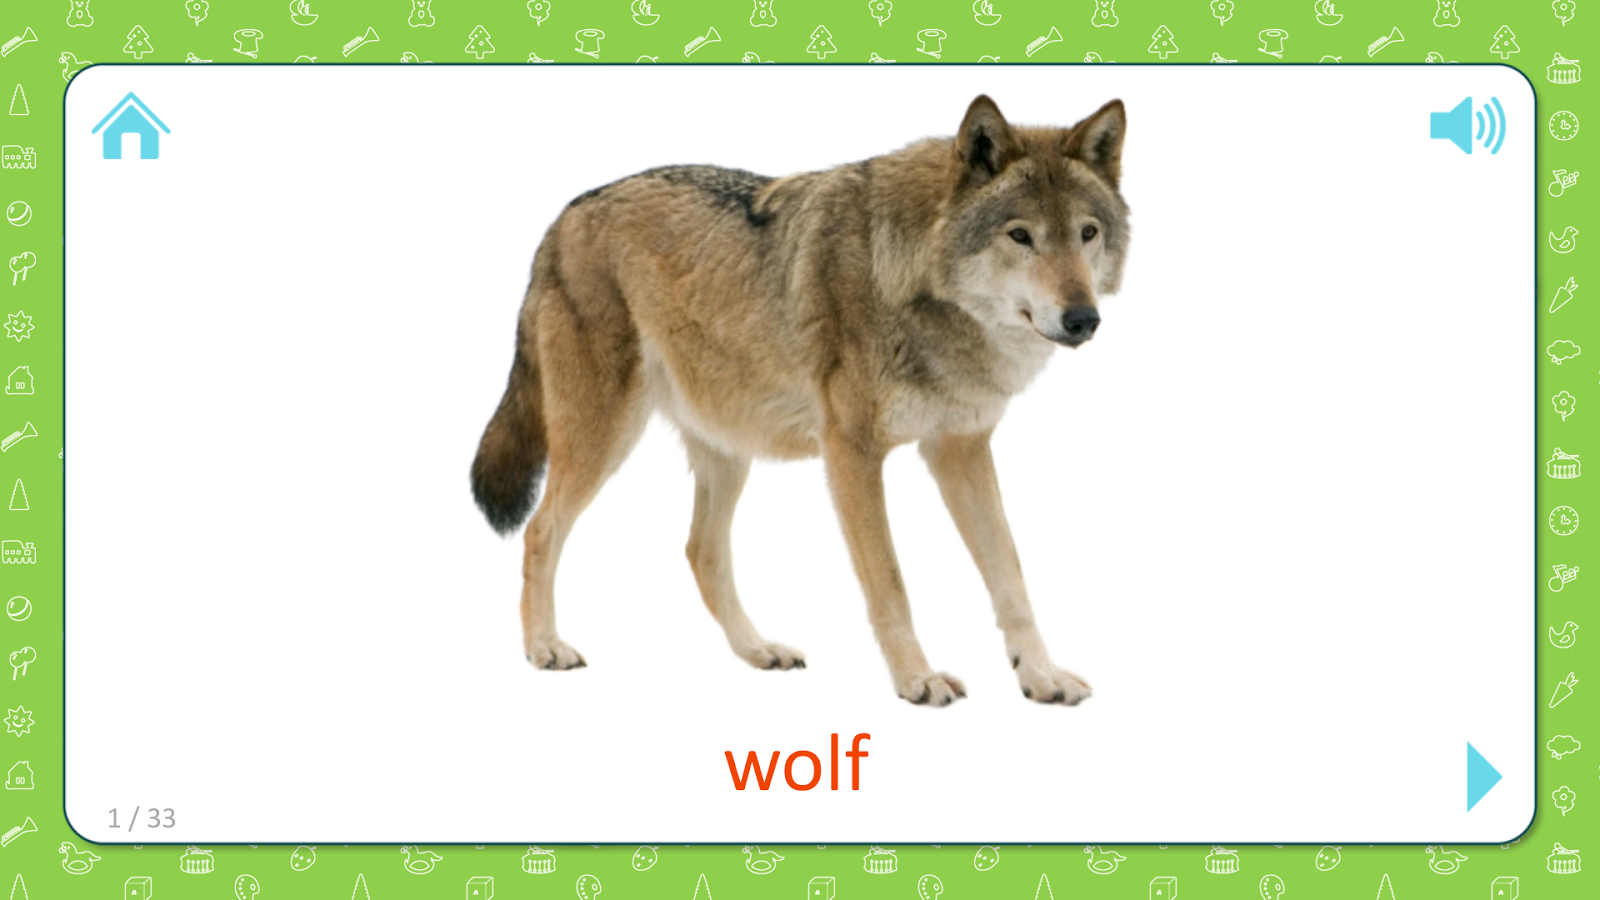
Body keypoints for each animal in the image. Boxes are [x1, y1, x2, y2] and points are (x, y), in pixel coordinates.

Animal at [471, 94, 1129, 705]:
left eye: (1087, 234)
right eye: (1020, 236)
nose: (1083, 319)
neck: (916, 284)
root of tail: (561, 219)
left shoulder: (960, 449)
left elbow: (1010, 576)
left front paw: (1041, 675)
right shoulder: (852, 453)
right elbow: (891, 583)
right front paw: (917, 680)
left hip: (727, 449)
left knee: (701, 551)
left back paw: (759, 649)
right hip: (604, 437)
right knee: (540, 529)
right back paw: (544, 646)